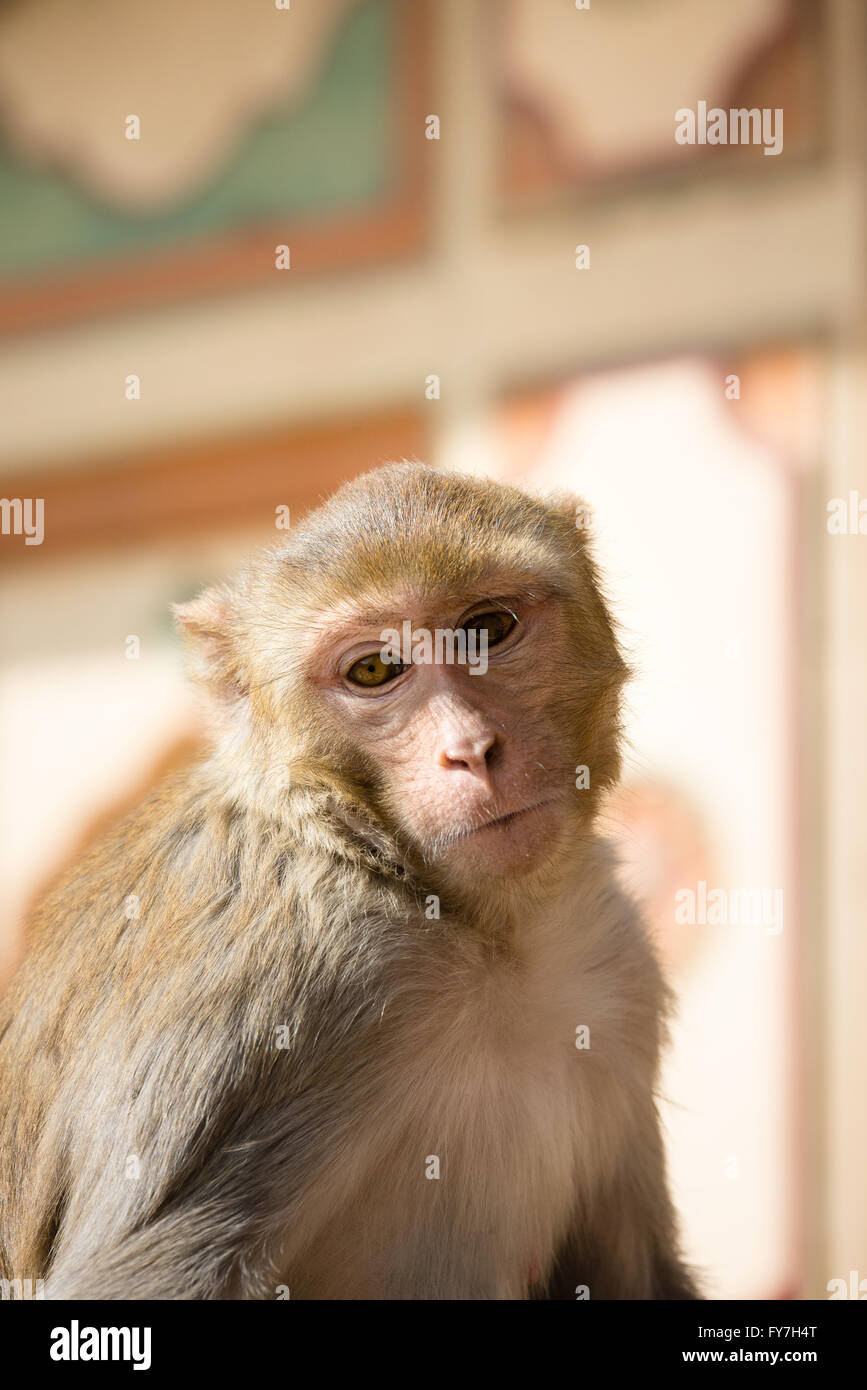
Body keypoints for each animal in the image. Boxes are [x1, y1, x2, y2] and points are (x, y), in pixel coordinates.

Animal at [0, 461, 699, 1301]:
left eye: (487, 629)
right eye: (374, 670)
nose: (471, 748)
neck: (477, 931)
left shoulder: (616, 971)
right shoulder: (300, 983)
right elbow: (134, 1279)